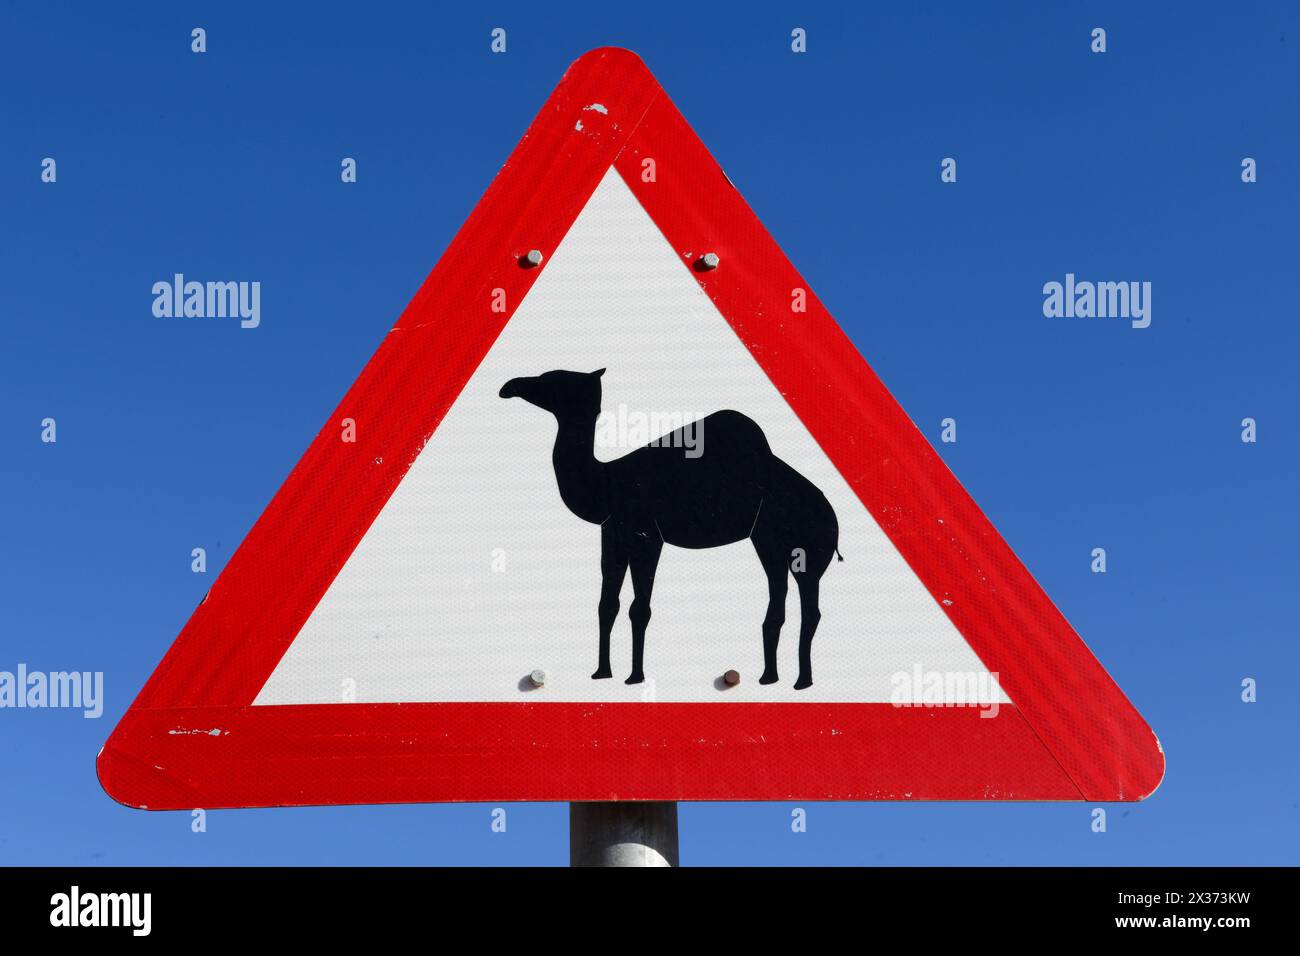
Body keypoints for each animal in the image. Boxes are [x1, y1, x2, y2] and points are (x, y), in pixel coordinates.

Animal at [499, 368, 840, 689]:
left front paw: (634, 676)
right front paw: (601, 672)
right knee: (780, 598)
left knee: (809, 607)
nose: (509, 387)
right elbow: (607, 605)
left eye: (551, 380)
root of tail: (830, 513)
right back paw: (771, 677)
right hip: (770, 542)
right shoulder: (613, 535)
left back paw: (801, 681)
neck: (606, 482)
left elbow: (639, 609)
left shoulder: (647, 535)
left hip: (805, 549)